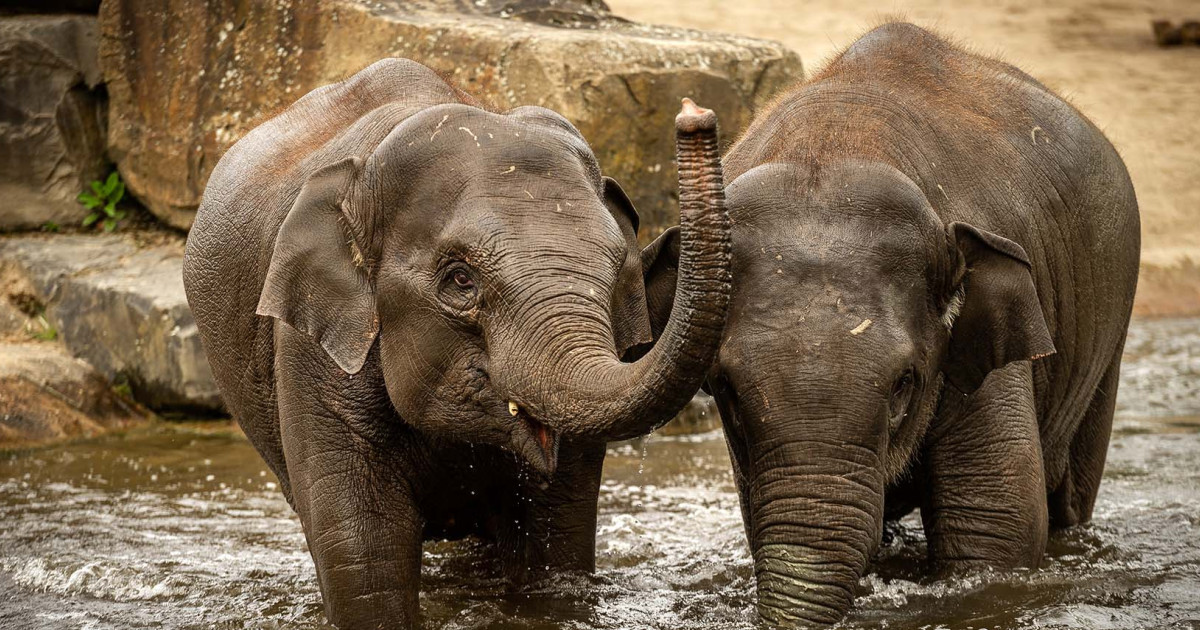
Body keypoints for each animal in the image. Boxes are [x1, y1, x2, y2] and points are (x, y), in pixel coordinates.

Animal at [182, 58, 732, 629]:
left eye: (617, 269)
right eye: (461, 280)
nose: (693, 112)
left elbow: (556, 538)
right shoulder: (309, 348)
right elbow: (362, 557)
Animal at [644, 23, 1139, 626]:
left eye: (905, 384)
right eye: (727, 392)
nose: (692, 112)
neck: (838, 142)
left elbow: (995, 525)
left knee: (1070, 495)